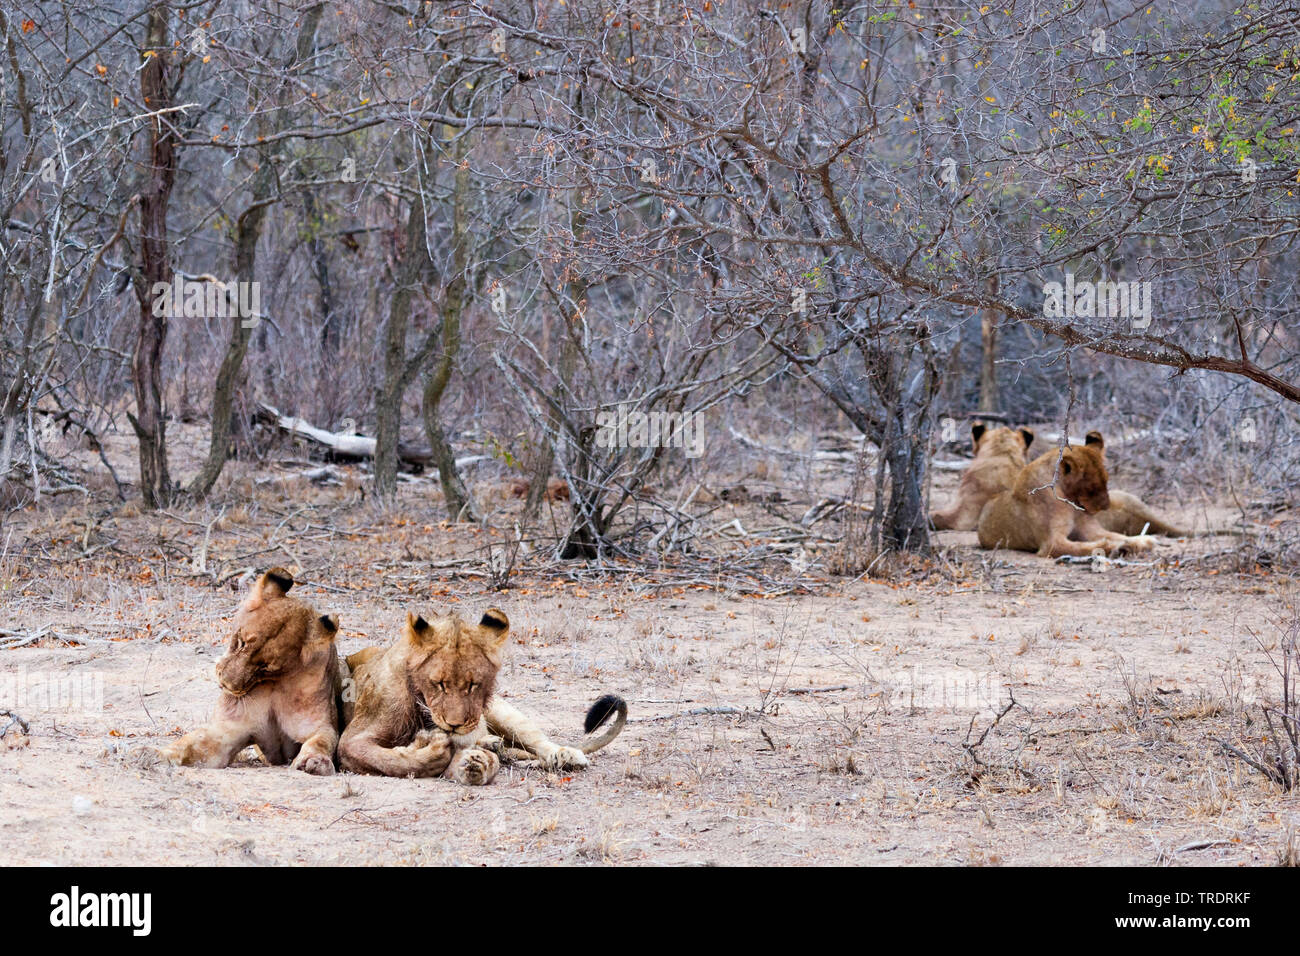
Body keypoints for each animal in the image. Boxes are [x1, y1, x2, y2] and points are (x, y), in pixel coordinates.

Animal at [157, 568, 342, 775]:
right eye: (241, 642)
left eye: (265, 668)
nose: (225, 683)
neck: (276, 683)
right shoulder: (228, 729)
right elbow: (191, 744)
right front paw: (151, 754)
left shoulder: (316, 726)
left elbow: (321, 741)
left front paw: (314, 761)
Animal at [338, 609, 626, 786]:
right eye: (439, 684)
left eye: (473, 685)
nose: (454, 725)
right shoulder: (352, 740)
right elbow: (386, 760)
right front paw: (430, 750)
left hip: (501, 712)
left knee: (536, 742)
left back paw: (564, 755)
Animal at [976, 431, 1158, 558]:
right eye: (1091, 488)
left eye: (1106, 481)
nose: (1106, 507)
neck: (1071, 501)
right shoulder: (1052, 543)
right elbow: (1085, 546)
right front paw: (1118, 547)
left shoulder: (1089, 529)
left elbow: (1117, 535)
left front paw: (1143, 541)